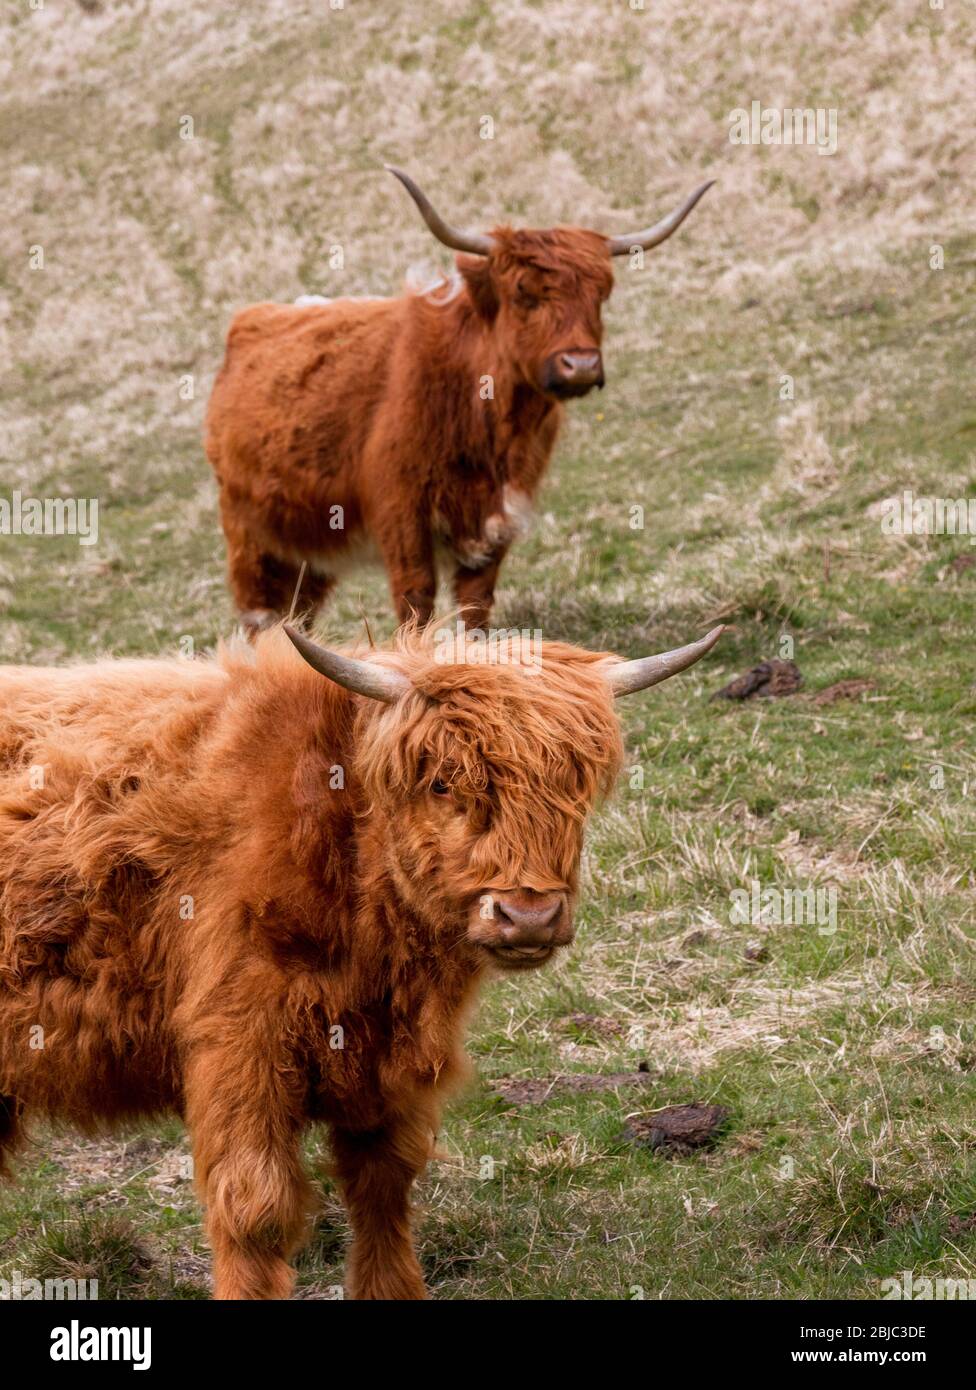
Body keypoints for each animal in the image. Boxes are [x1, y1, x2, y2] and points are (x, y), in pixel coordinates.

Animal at [0, 618, 722, 1299]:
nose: (529, 915)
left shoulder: (385, 1065)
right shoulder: (239, 1046)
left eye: (571, 789)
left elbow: (383, 1187)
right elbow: (255, 1210)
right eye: (442, 784)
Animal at [205, 167, 713, 634]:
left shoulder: (496, 517)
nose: (581, 365)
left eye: (601, 294)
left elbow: (475, 603)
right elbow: (416, 597)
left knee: (299, 616)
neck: (489, 420)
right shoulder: (402, 510)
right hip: (251, 537)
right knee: (260, 614)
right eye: (523, 293)